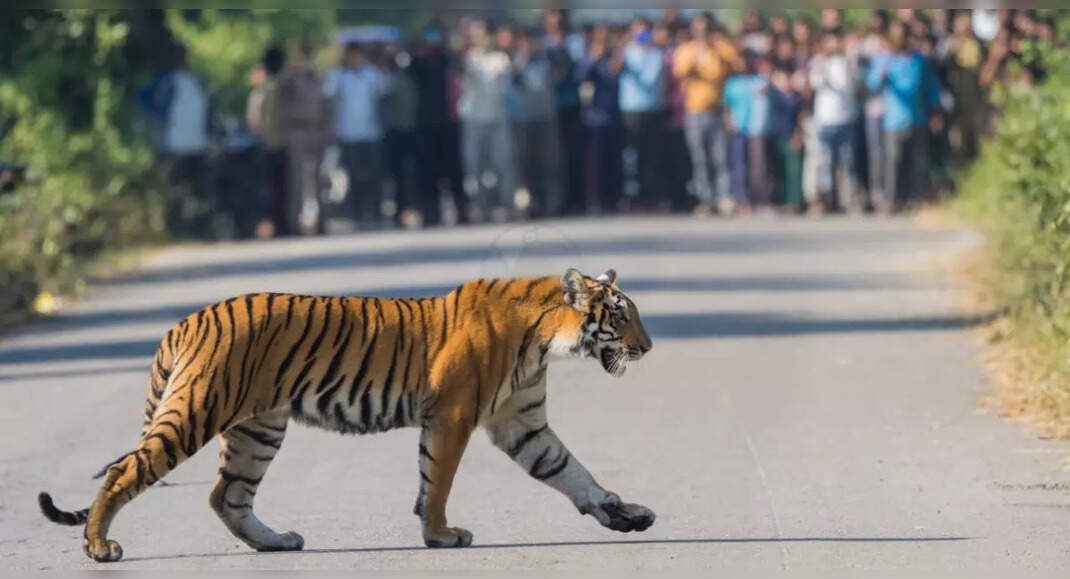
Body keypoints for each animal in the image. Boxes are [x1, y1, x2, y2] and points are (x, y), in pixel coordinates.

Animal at [37, 268, 655, 562]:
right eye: (621, 316)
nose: (648, 348)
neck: (545, 340)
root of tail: (185, 321)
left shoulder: (521, 423)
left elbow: (573, 473)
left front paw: (626, 515)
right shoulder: (454, 416)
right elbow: (438, 482)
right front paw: (441, 535)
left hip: (258, 428)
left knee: (227, 494)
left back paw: (277, 542)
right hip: (198, 410)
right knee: (126, 471)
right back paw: (99, 548)